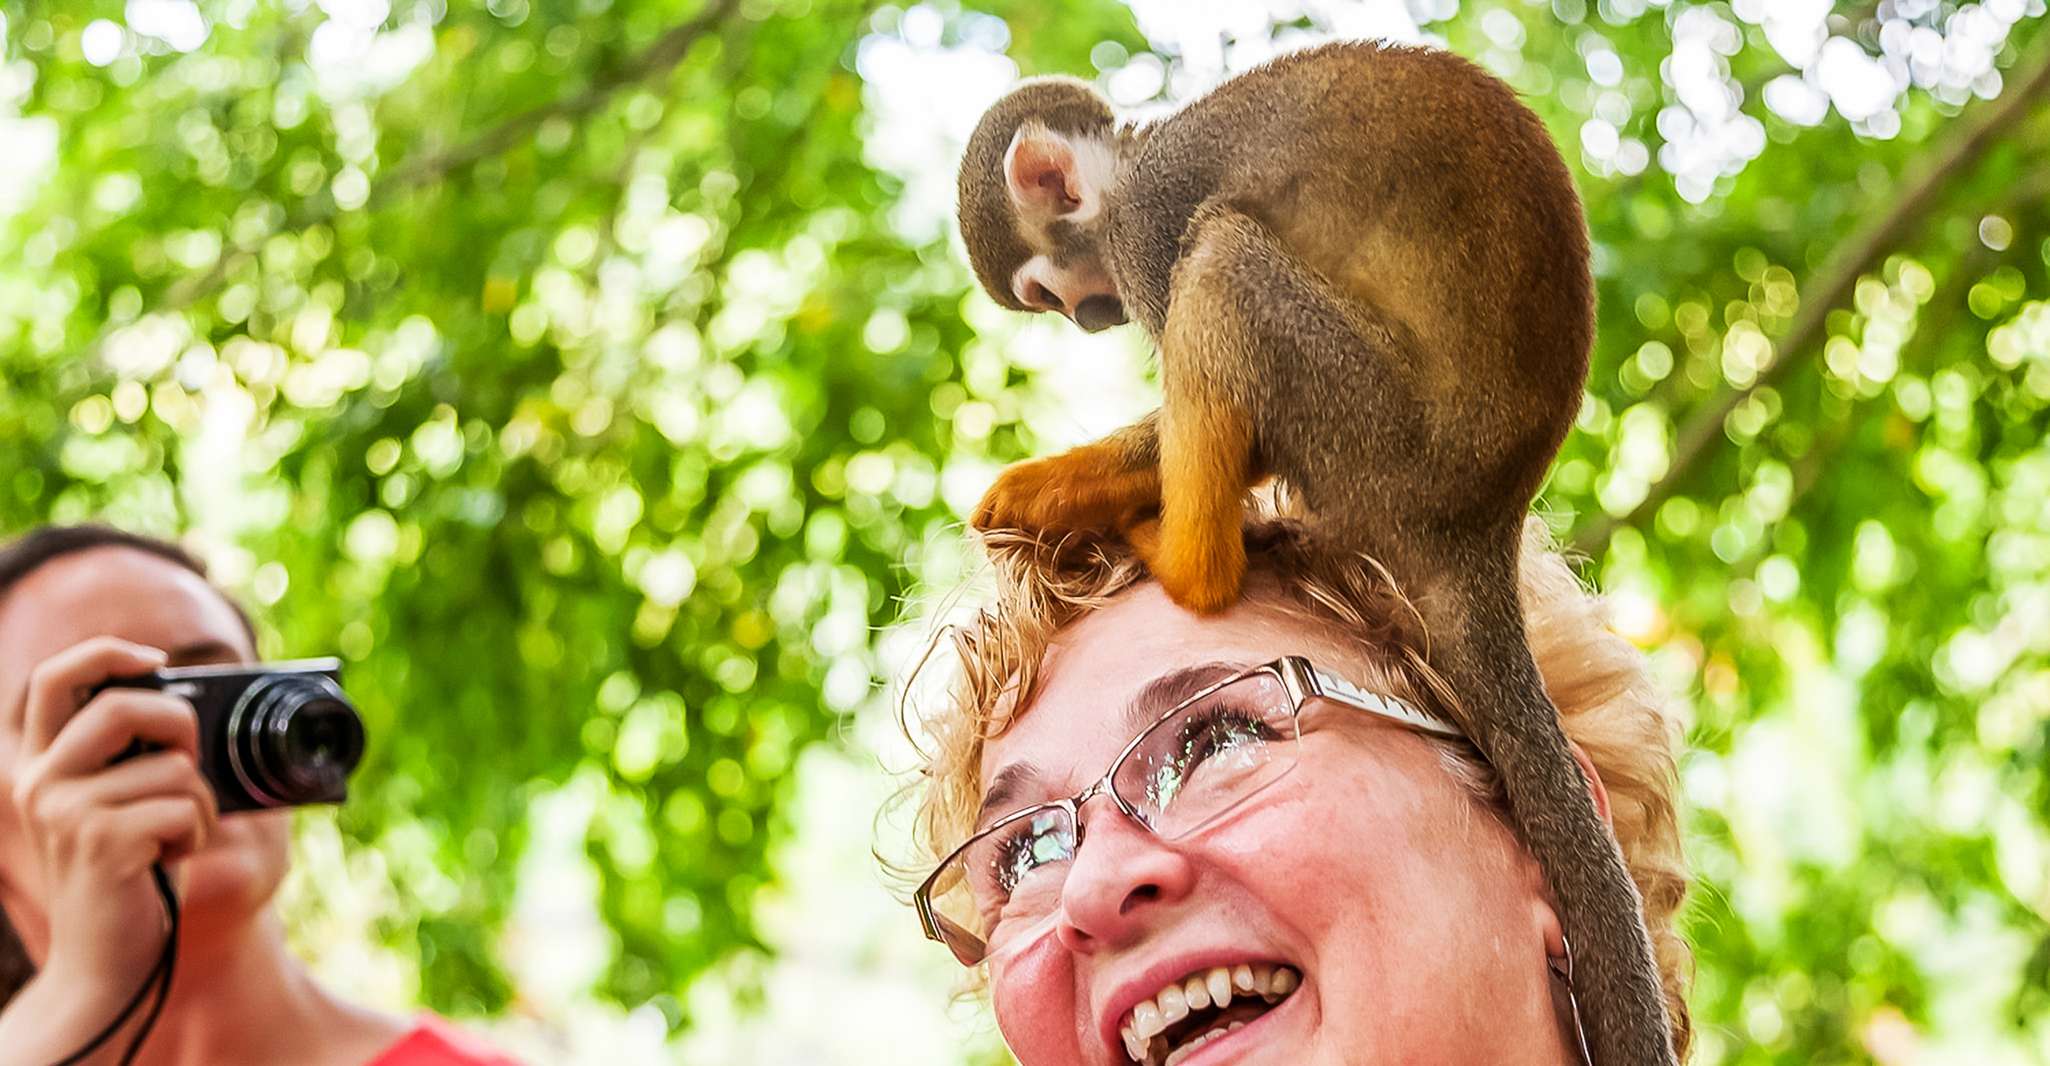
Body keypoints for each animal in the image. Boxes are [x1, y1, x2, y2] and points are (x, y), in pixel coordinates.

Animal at [956, 41, 1677, 1066]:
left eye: (1045, 293)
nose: (1089, 318)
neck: (1131, 162)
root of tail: (1474, 525)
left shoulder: (1147, 226)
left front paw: (1054, 488)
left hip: (1369, 429)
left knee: (1221, 254)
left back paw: (1192, 561)